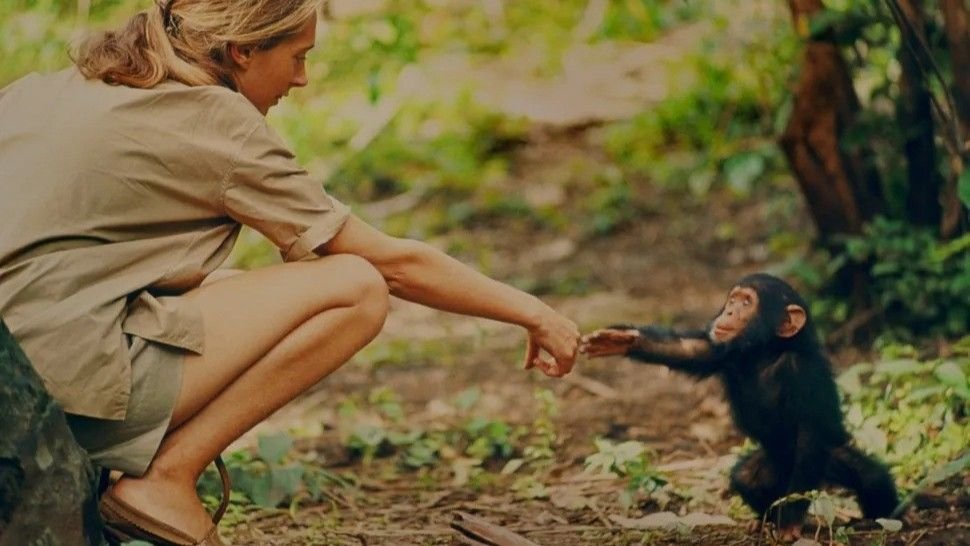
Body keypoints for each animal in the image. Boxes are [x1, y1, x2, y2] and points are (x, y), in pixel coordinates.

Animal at [581, 273, 899, 540]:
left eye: (747, 302)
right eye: (733, 299)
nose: (729, 311)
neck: (765, 352)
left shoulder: (804, 375)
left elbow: (809, 437)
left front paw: (791, 522)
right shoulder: (723, 350)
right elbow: (688, 350)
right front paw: (620, 339)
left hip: (825, 463)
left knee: (871, 478)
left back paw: (886, 516)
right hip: (772, 467)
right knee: (746, 478)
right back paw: (764, 519)